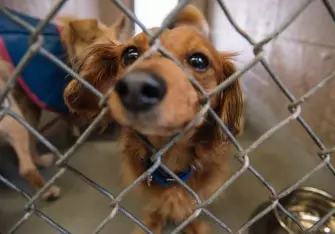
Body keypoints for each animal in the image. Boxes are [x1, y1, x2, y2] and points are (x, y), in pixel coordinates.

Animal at [65, 5, 244, 234]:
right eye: (130, 54)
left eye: (199, 61)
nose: (136, 87)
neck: (170, 160)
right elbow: (156, 206)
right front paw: (152, 222)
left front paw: (192, 224)